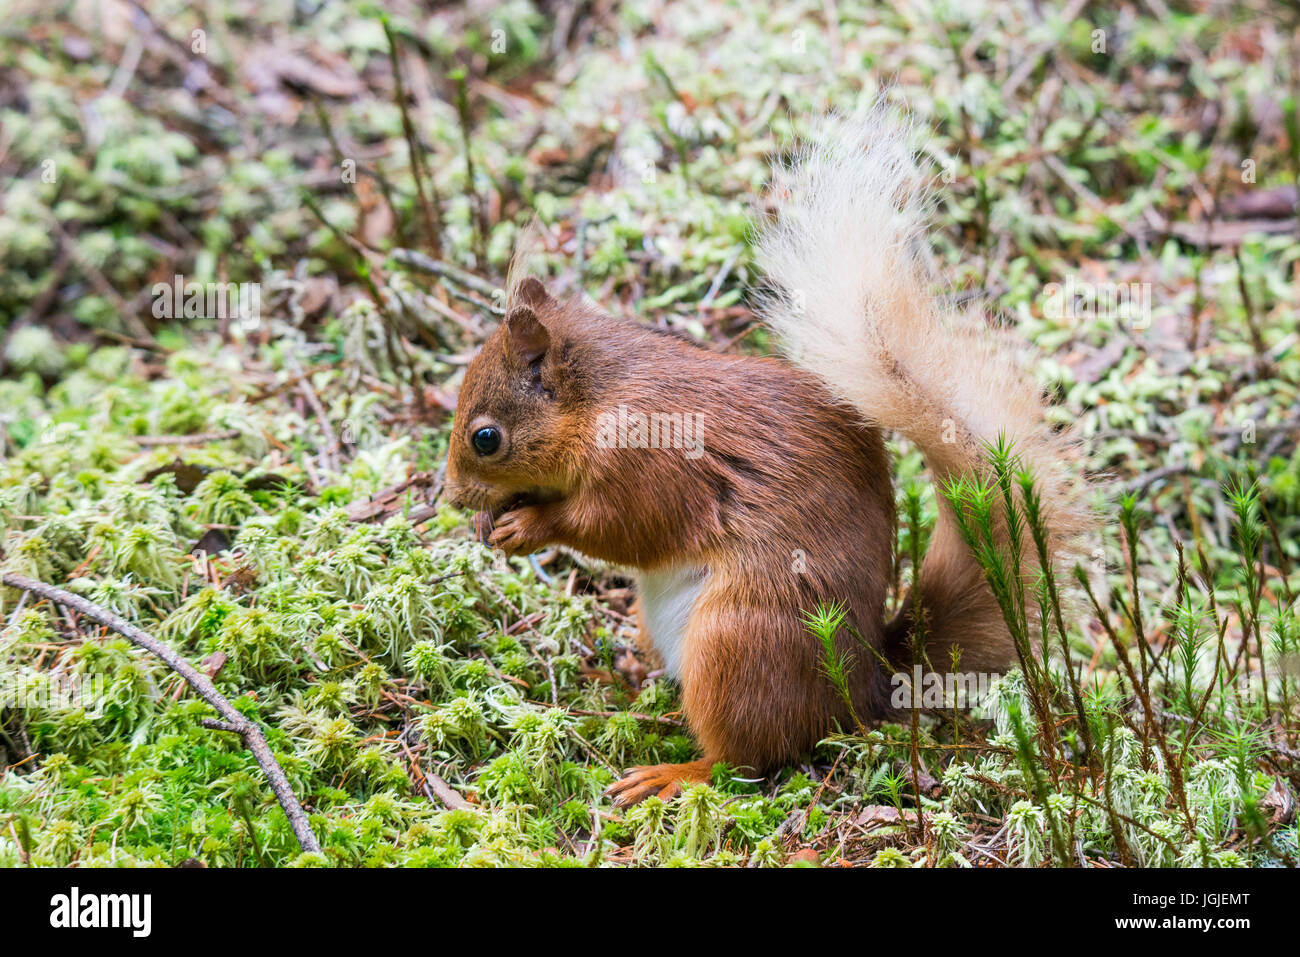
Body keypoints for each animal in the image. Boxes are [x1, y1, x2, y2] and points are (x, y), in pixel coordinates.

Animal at [444, 111, 1089, 806]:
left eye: (486, 438)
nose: (449, 496)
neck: (599, 399)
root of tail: (863, 684)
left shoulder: (650, 463)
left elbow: (619, 526)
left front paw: (530, 525)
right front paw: (490, 520)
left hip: (738, 642)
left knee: (744, 759)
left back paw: (672, 774)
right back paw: (638, 685)